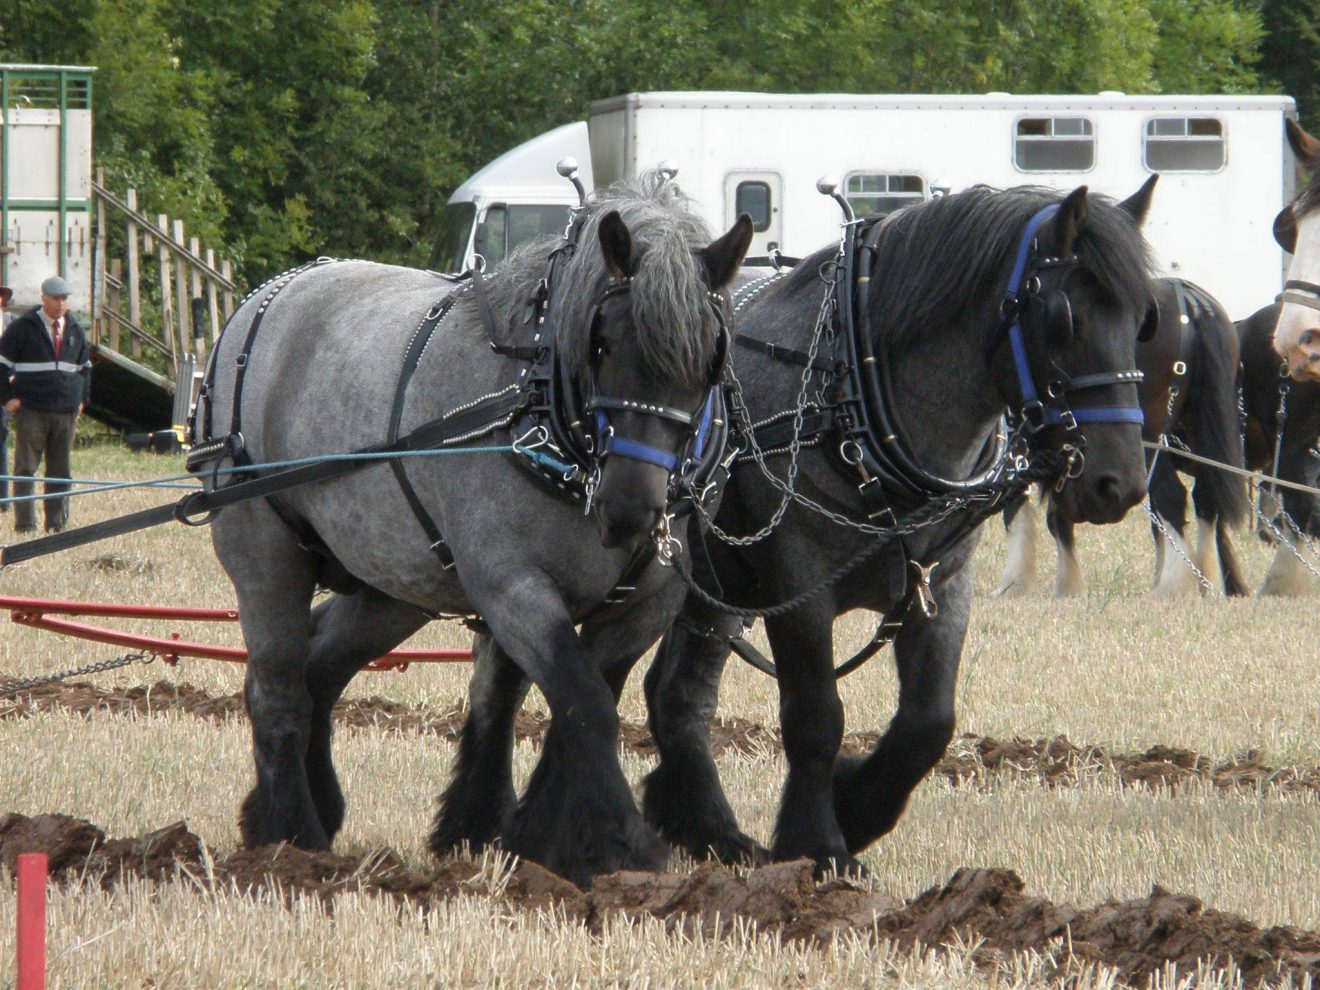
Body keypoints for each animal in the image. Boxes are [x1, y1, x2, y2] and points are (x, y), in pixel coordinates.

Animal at [193, 172, 752, 887]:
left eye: (711, 356)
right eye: (602, 341)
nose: (631, 511)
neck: (543, 408)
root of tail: (260, 302)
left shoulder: (645, 604)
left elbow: (582, 703)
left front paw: (542, 838)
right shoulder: (511, 587)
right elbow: (584, 702)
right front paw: (628, 846)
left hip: (393, 586)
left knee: (321, 668)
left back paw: (305, 809)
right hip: (264, 552)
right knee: (277, 688)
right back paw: (292, 837)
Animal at [993, 276, 1248, 598]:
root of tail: (1192, 303)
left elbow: (1024, 508)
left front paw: (1019, 584)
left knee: (1172, 497)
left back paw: (1172, 585)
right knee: (1205, 498)